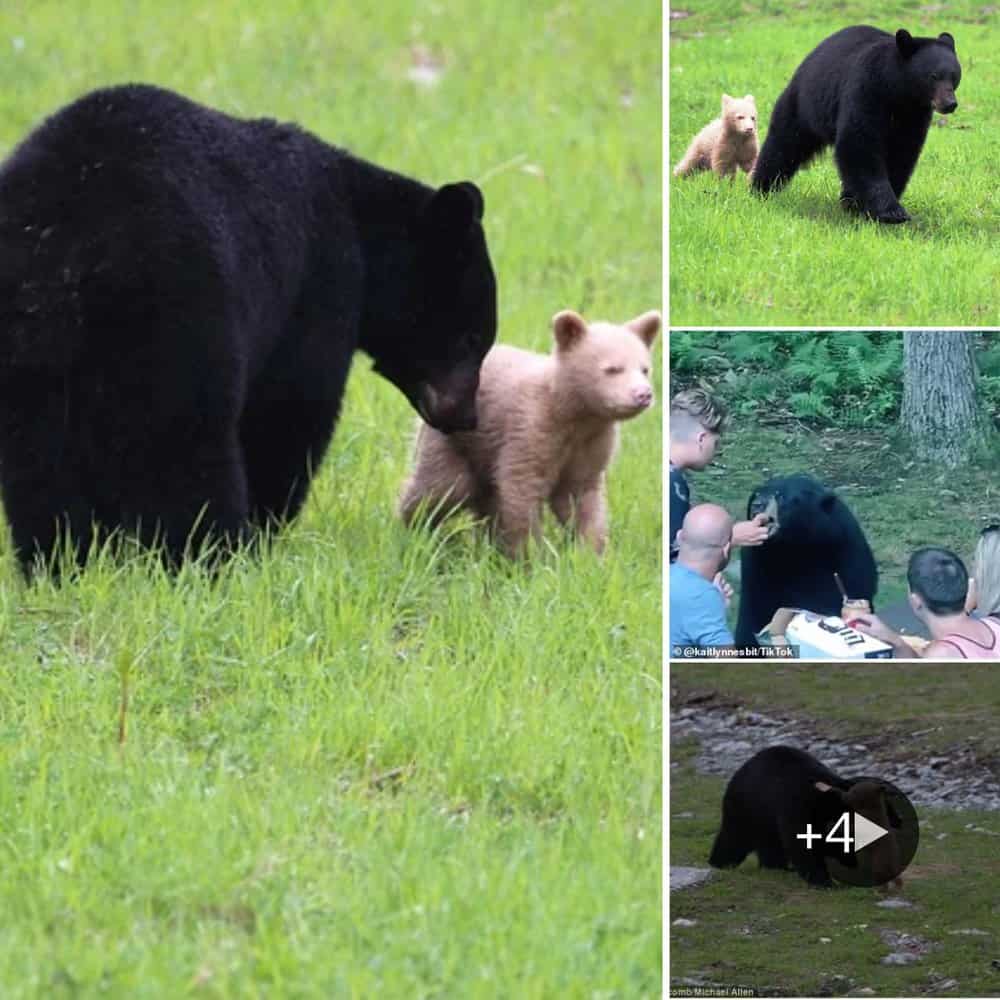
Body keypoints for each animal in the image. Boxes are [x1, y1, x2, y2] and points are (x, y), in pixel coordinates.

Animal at [0, 83, 497, 576]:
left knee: (39, 464)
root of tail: (65, 250)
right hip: (179, 318)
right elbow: (290, 406)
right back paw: (207, 554)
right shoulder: (316, 284)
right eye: (472, 338)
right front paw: (261, 528)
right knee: (184, 444)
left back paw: (58, 561)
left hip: (32, 355)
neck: (359, 223)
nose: (466, 417)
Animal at [398, 309, 660, 557]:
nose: (643, 394)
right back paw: (412, 528)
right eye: (612, 369)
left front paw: (590, 554)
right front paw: (530, 556)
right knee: (444, 487)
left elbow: (581, 498)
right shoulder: (531, 429)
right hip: (451, 439)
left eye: (645, 369)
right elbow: (522, 488)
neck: (574, 416)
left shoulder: (591, 443)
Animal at [708, 746, 903, 888]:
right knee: (735, 837)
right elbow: (802, 843)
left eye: (889, 809)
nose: (899, 821)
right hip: (748, 806)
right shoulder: (798, 806)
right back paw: (719, 863)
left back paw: (778, 867)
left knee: (769, 843)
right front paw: (824, 881)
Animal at [733, 474, 877, 648]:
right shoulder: (757, 562)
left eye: (781, 497)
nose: (757, 505)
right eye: (756, 494)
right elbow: (756, 609)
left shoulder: (846, 551)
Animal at [750, 26, 961, 223]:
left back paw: (848, 200)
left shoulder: (914, 115)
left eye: (955, 76)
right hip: (806, 105)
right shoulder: (866, 90)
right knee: (783, 144)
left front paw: (868, 205)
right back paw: (761, 188)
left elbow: (902, 153)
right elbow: (859, 144)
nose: (950, 104)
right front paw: (890, 211)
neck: (898, 93)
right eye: (933, 76)